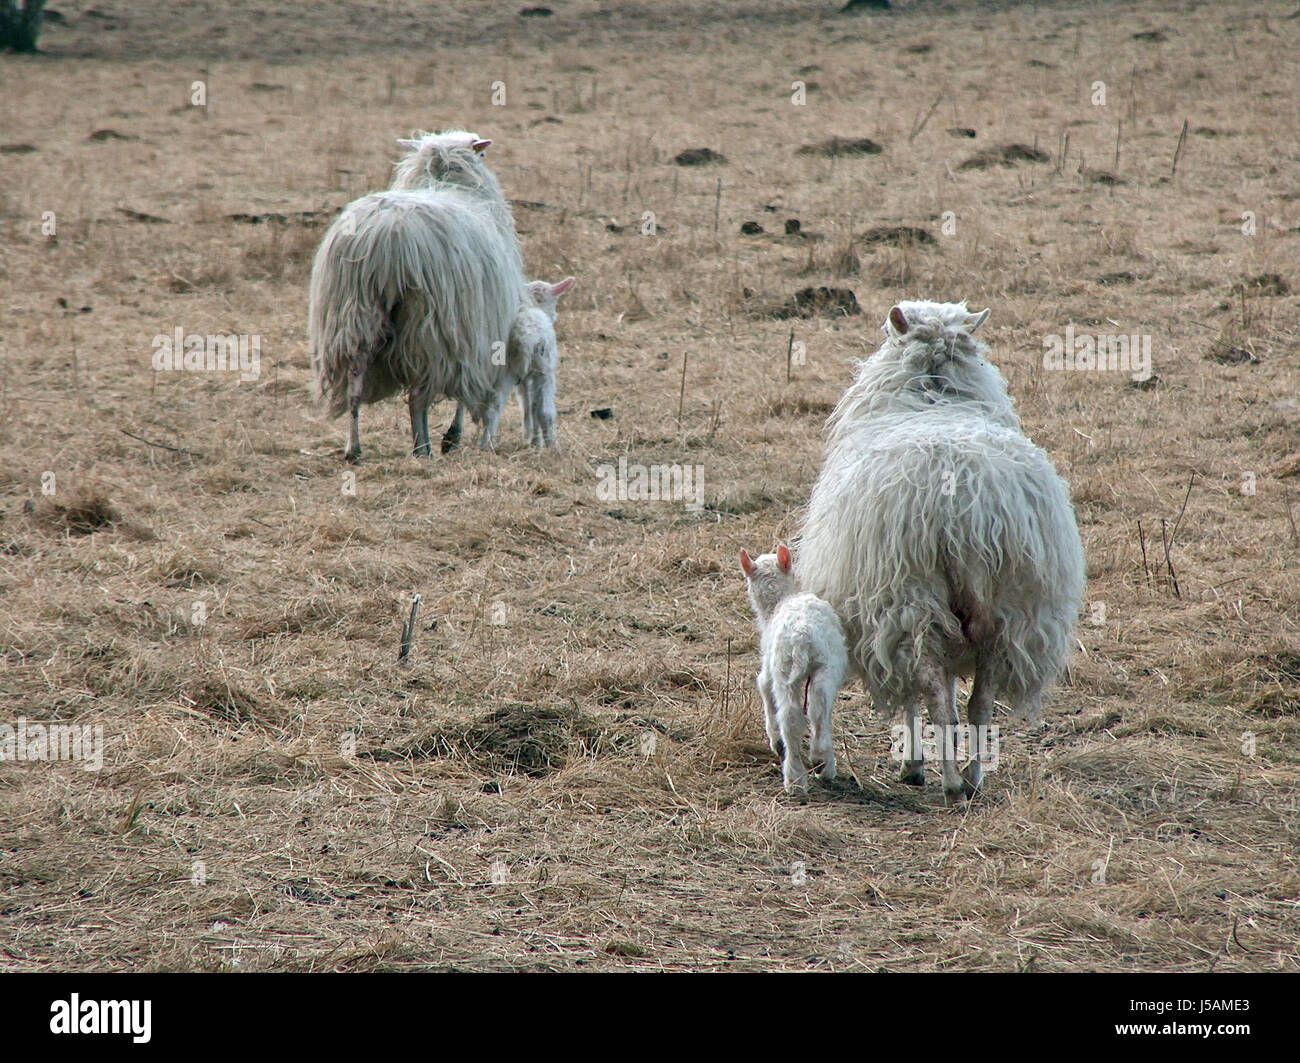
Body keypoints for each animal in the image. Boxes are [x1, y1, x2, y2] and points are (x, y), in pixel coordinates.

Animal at [307, 130, 526, 461]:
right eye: (483, 154)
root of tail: (383, 236)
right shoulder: (472, 331)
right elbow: (464, 392)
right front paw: (452, 436)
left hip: (353, 313)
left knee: (355, 382)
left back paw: (353, 448)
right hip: (427, 324)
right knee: (419, 395)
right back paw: (422, 447)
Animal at [740, 544, 848, 795]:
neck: (779, 601)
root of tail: (801, 635)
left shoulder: (768, 666)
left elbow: (763, 686)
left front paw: (774, 740)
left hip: (784, 667)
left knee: (791, 715)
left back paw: (795, 775)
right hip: (824, 666)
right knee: (816, 707)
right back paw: (821, 764)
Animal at [796, 300, 1085, 804]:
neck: (934, 397)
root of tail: (964, 508)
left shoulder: (884, 609)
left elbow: (918, 694)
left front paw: (912, 765)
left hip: (909, 599)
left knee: (931, 691)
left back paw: (950, 782)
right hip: (1012, 610)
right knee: (980, 702)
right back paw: (973, 775)